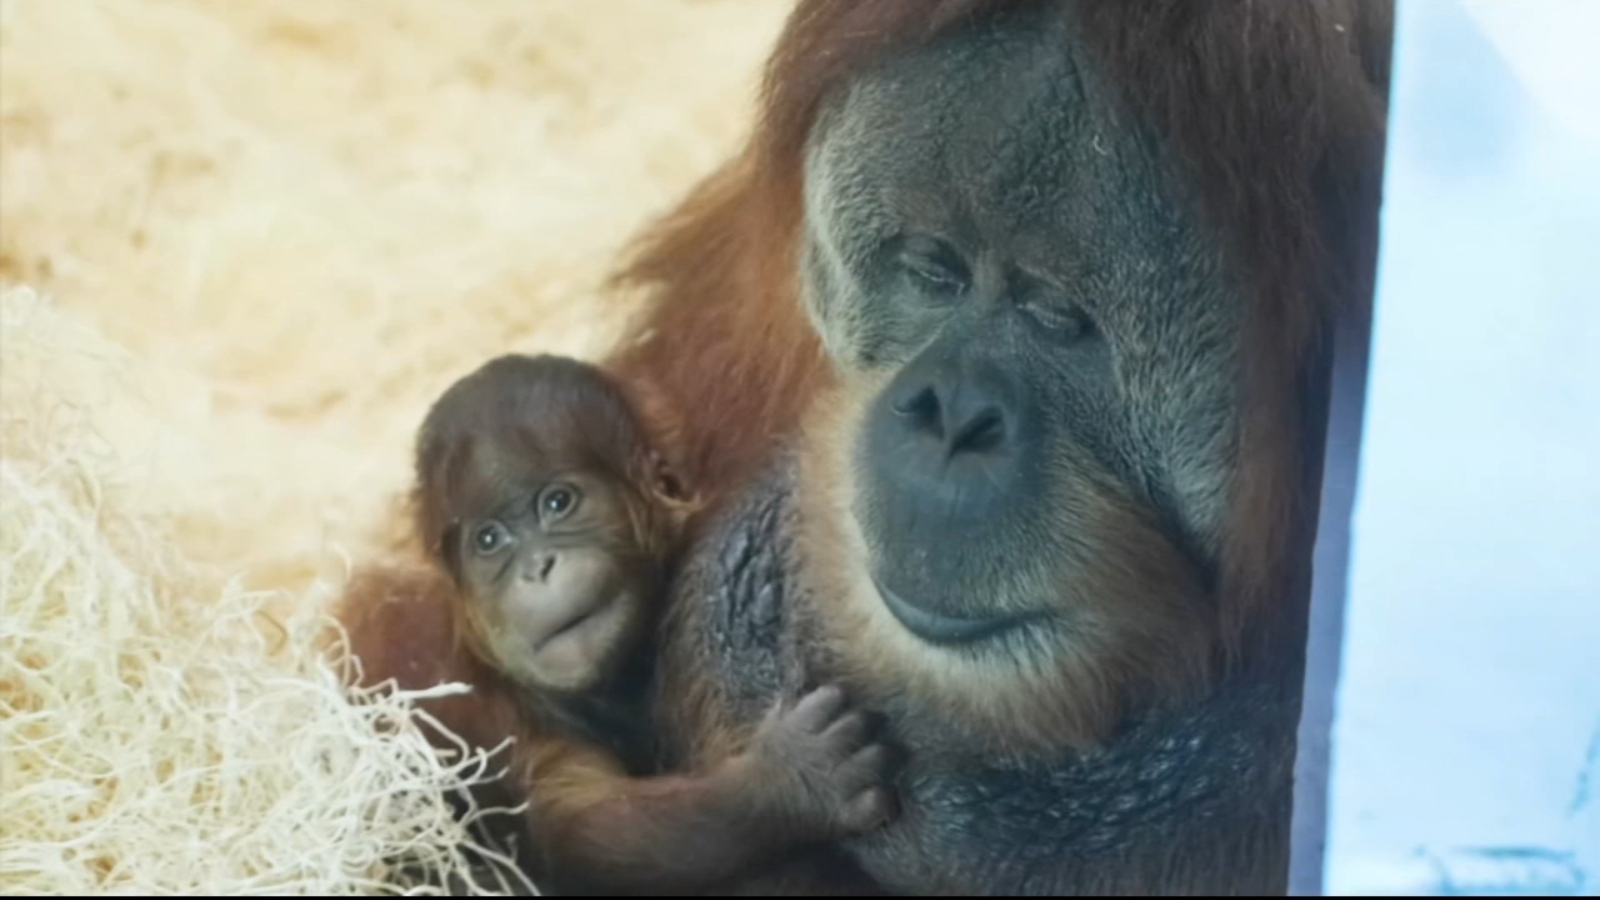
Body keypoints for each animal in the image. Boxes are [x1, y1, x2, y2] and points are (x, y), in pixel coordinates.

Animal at [340, 353, 898, 896]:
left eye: (557, 502)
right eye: (489, 540)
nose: (537, 567)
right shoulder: (515, 716)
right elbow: (589, 822)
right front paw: (791, 780)